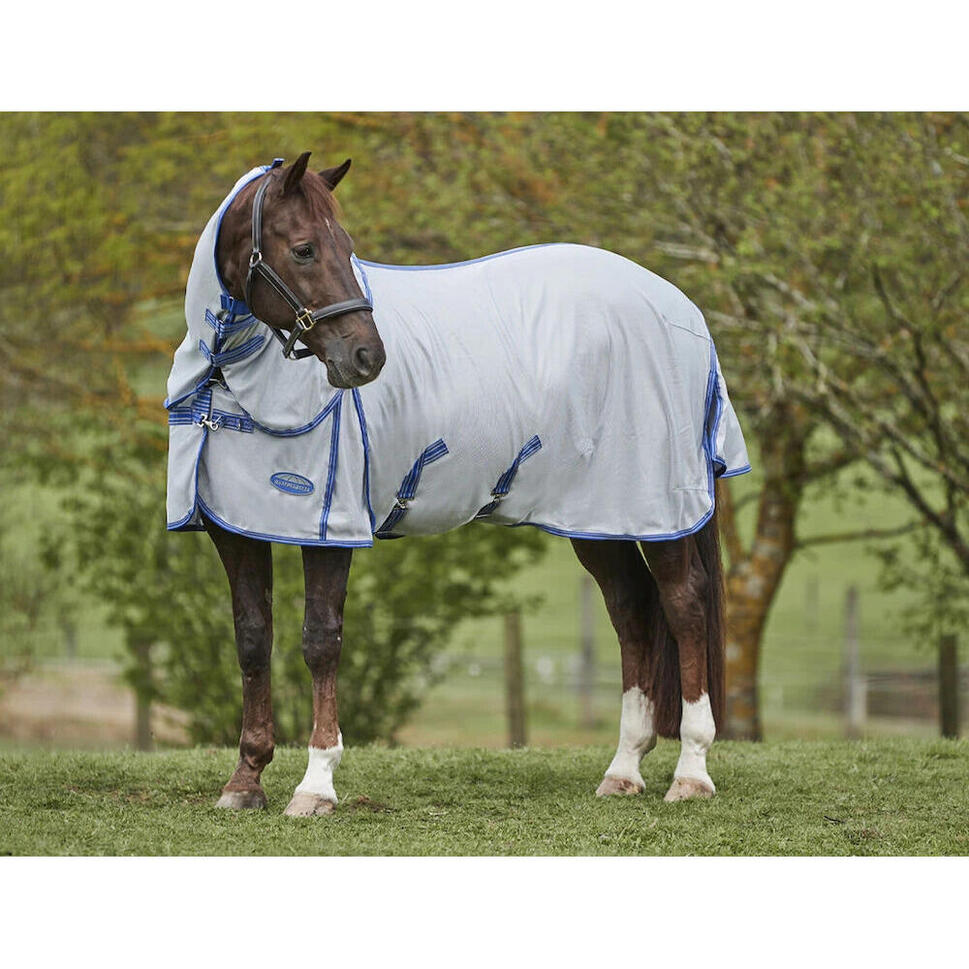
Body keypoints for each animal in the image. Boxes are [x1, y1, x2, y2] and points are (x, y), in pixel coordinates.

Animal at [165, 152, 751, 816]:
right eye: (305, 249)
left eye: (346, 247)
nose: (367, 358)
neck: (233, 379)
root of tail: (682, 309)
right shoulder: (235, 528)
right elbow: (251, 639)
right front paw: (245, 779)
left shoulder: (330, 528)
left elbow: (320, 641)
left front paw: (316, 785)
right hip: (599, 515)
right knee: (631, 609)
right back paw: (623, 768)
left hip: (659, 505)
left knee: (684, 605)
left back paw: (691, 772)